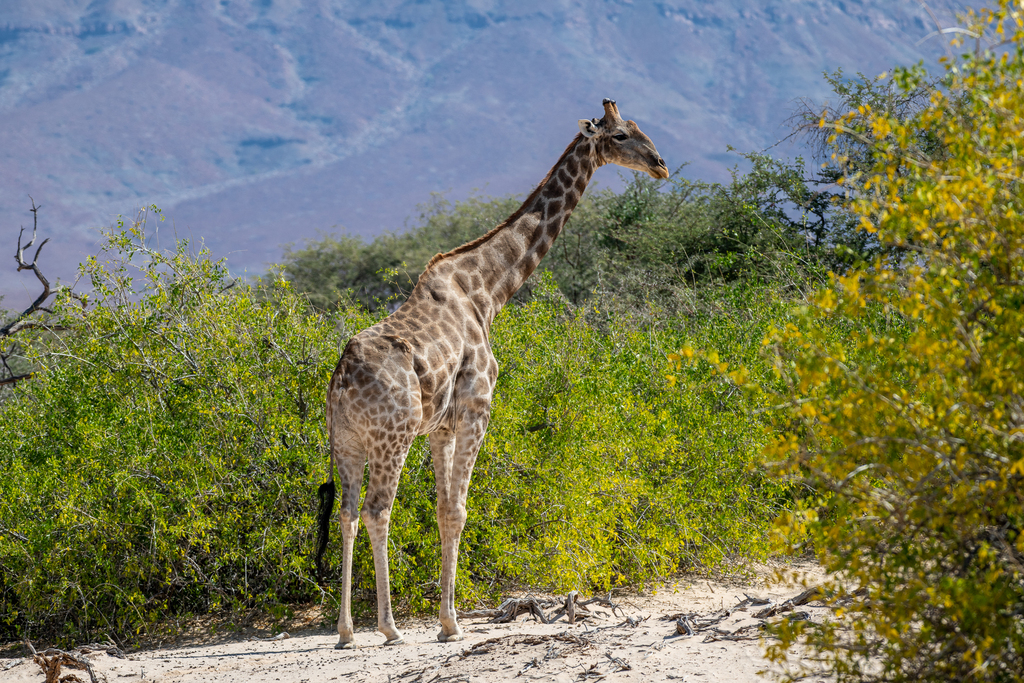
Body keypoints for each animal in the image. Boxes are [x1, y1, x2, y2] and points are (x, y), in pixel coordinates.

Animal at [314, 99, 669, 649]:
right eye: (622, 135)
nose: (661, 165)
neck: (488, 291)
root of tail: (341, 380)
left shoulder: (439, 427)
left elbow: (443, 510)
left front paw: (446, 618)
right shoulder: (477, 408)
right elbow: (459, 511)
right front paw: (450, 624)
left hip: (346, 440)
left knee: (349, 515)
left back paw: (348, 632)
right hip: (392, 436)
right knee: (376, 511)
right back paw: (389, 628)